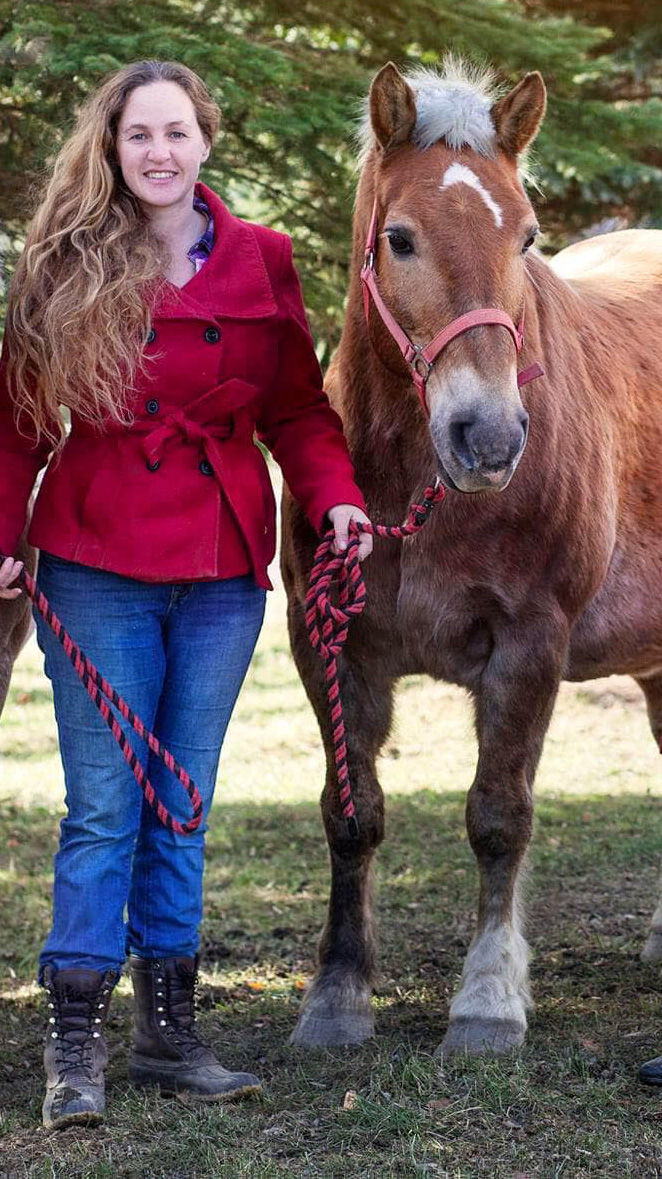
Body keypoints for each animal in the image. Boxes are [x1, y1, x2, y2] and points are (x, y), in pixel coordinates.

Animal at [280, 59, 662, 1056]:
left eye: (526, 235)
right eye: (400, 239)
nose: (487, 438)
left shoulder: (529, 645)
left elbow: (499, 817)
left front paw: (488, 1001)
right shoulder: (331, 644)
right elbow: (351, 814)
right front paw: (337, 995)